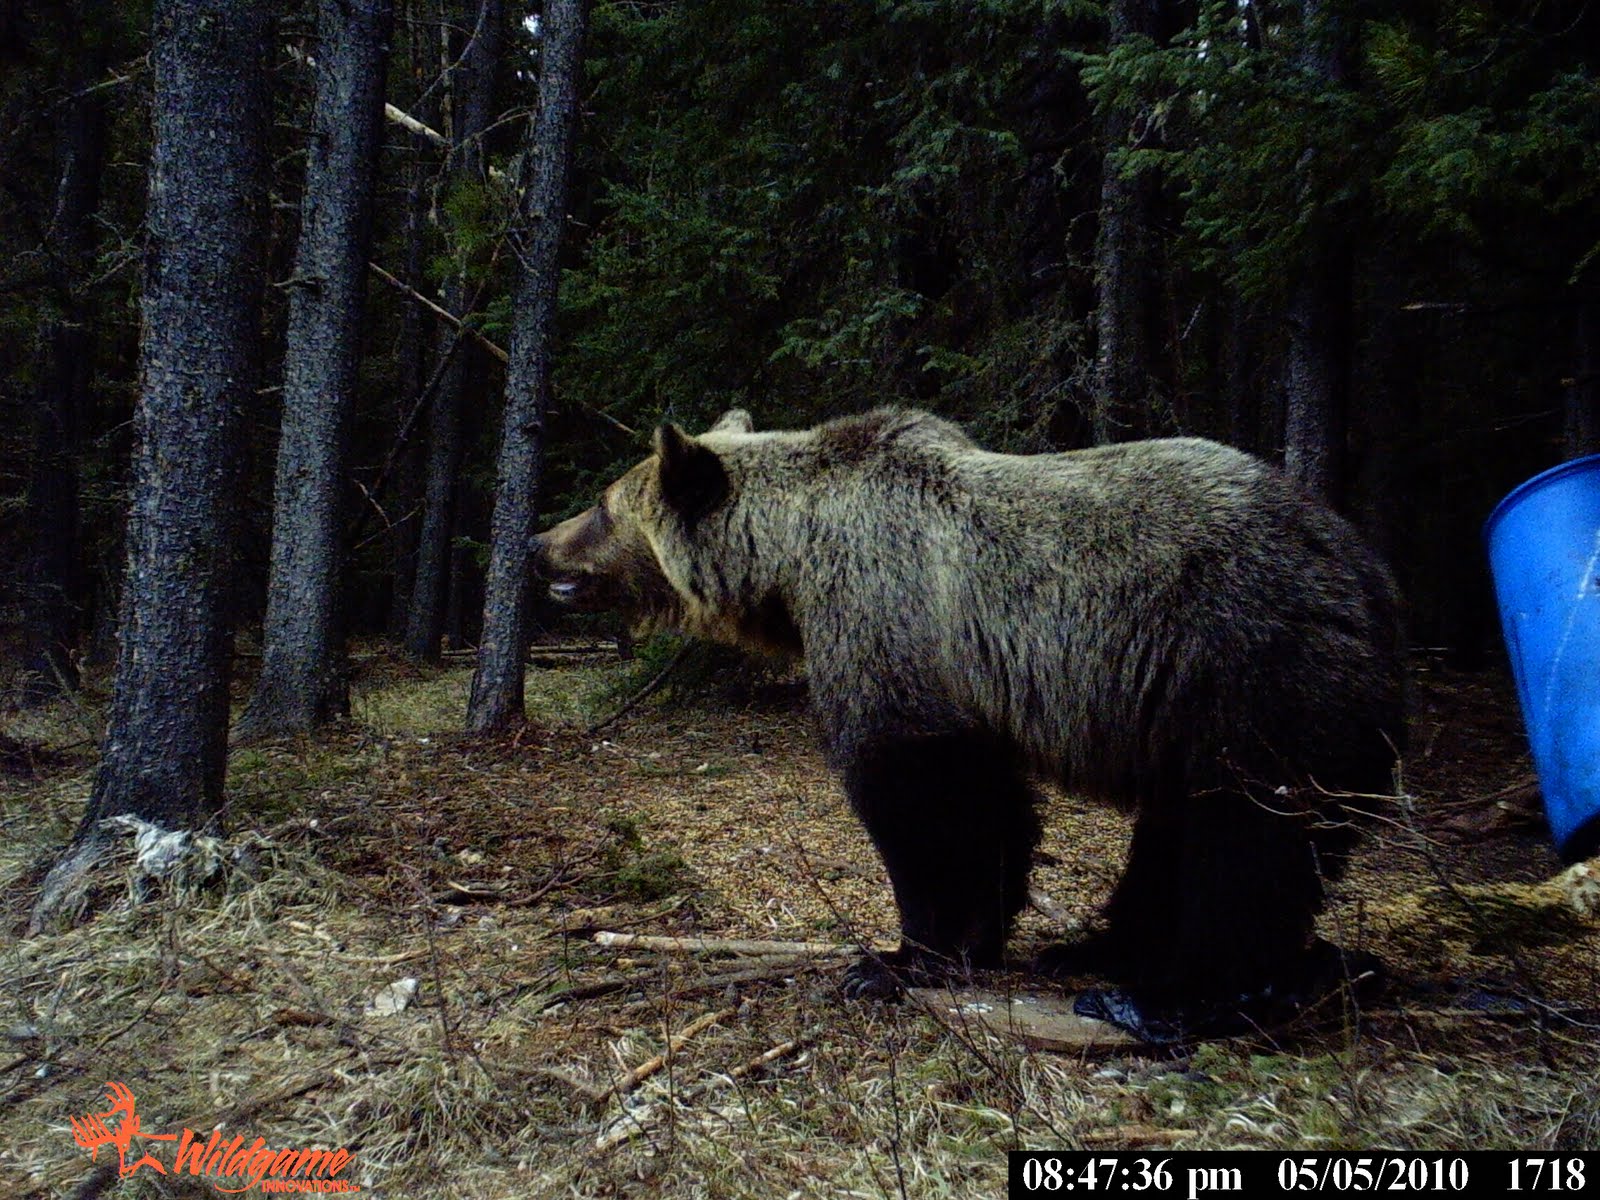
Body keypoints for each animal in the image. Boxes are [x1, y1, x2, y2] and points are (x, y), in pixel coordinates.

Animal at [532, 408, 1406, 1038]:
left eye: (602, 505)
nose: (540, 543)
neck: (792, 564)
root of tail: (1369, 571)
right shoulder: (970, 681)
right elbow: (993, 806)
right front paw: (980, 934)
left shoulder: (889, 618)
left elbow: (923, 799)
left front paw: (896, 957)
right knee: (1181, 833)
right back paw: (1096, 947)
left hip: (1245, 666)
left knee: (1247, 840)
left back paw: (1175, 996)